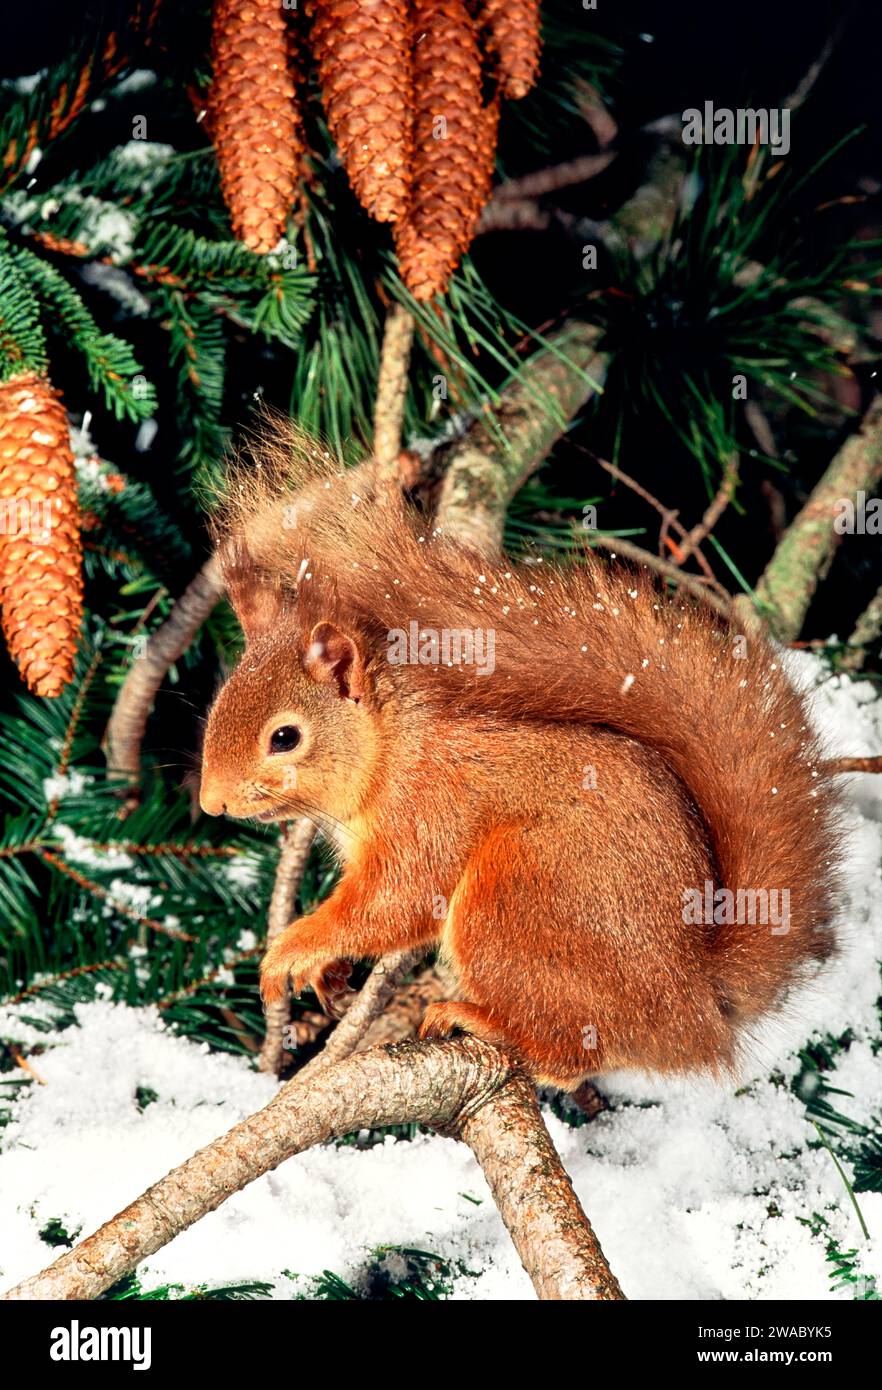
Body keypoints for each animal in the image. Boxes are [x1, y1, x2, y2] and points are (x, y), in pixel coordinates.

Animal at [199, 425, 844, 1088]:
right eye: (216, 706)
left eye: (284, 737)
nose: (211, 803)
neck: (389, 751)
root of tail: (695, 1001)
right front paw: (324, 971)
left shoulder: (428, 809)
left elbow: (393, 902)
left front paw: (292, 948)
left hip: (515, 896)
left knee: (572, 1054)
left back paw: (484, 1022)